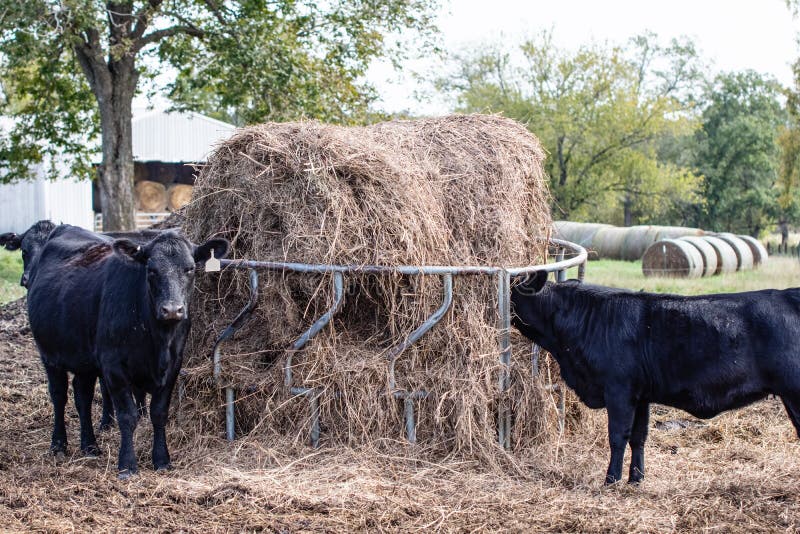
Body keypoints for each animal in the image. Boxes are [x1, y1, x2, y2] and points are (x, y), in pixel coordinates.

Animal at [26, 224, 228, 478]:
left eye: (190, 268)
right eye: (151, 270)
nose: (172, 310)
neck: (157, 339)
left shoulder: (174, 364)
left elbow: (159, 413)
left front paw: (162, 459)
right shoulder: (113, 366)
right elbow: (127, 415)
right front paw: (127, 464)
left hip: (85, 361)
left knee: (83, 397)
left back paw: (90, 446)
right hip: (49, 354)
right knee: (59, 395)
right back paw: (59, 444)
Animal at [510, 270, 800, 485]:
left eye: (513, 287)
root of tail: (788, 293)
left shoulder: (619, 390)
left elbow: (618, 435)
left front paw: (611, 480)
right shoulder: (641, 396)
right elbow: (639, 436)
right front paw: (636, 479)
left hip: (793, 393)